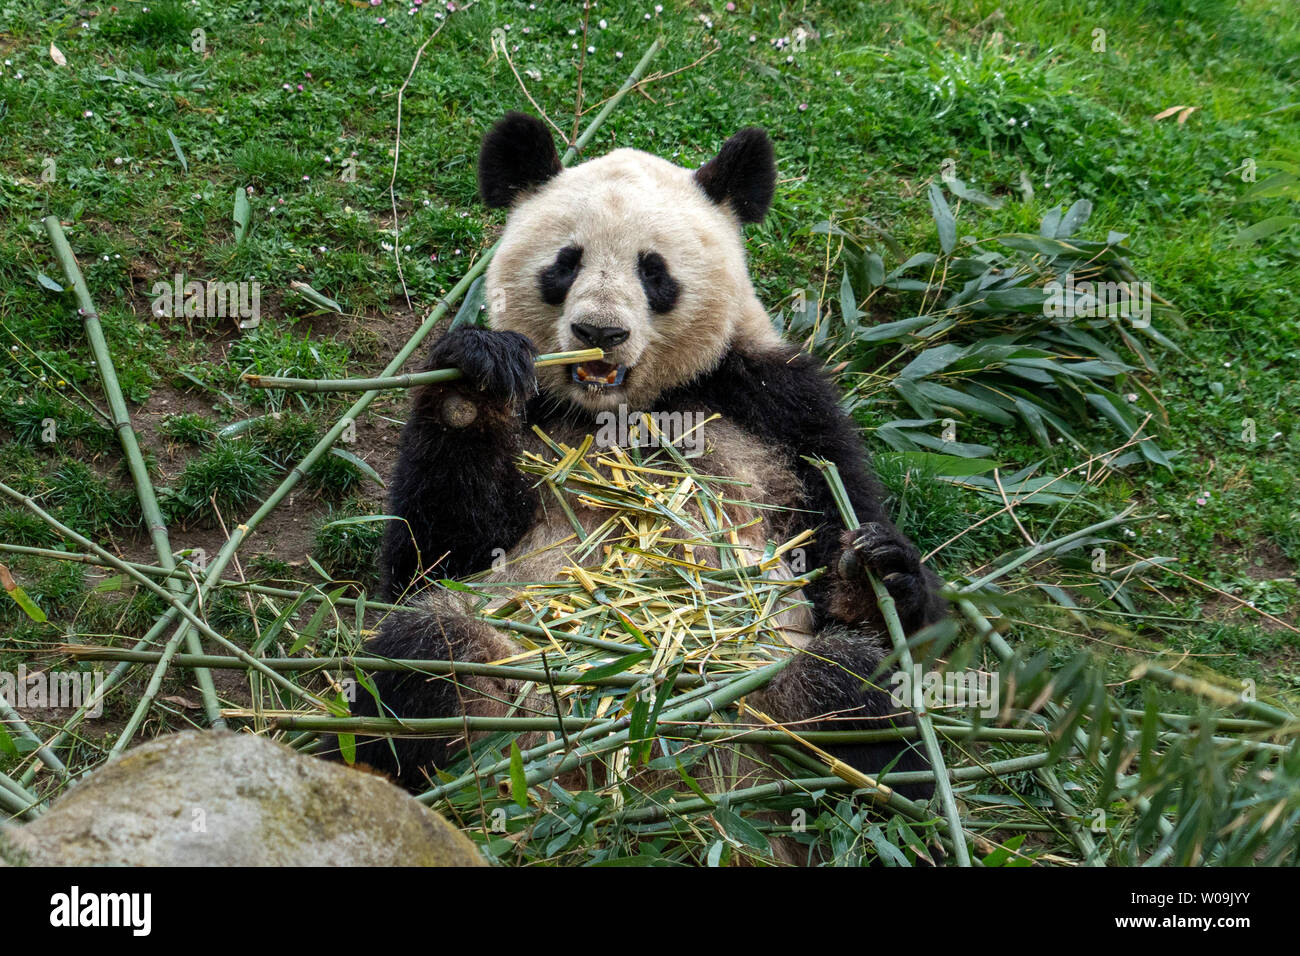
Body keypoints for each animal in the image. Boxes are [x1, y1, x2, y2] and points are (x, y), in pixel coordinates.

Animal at [328, 112, 948, 815]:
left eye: (654, 271)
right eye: (565, 263)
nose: (600, 332)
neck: (627, 408)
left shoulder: (780, 403)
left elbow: (852, 551)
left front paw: (877, 572)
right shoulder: (534, 416)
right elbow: (431, 558)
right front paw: (479, 379)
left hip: (764, 696)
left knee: (855, 698)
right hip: (501, 668)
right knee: (421, 662)